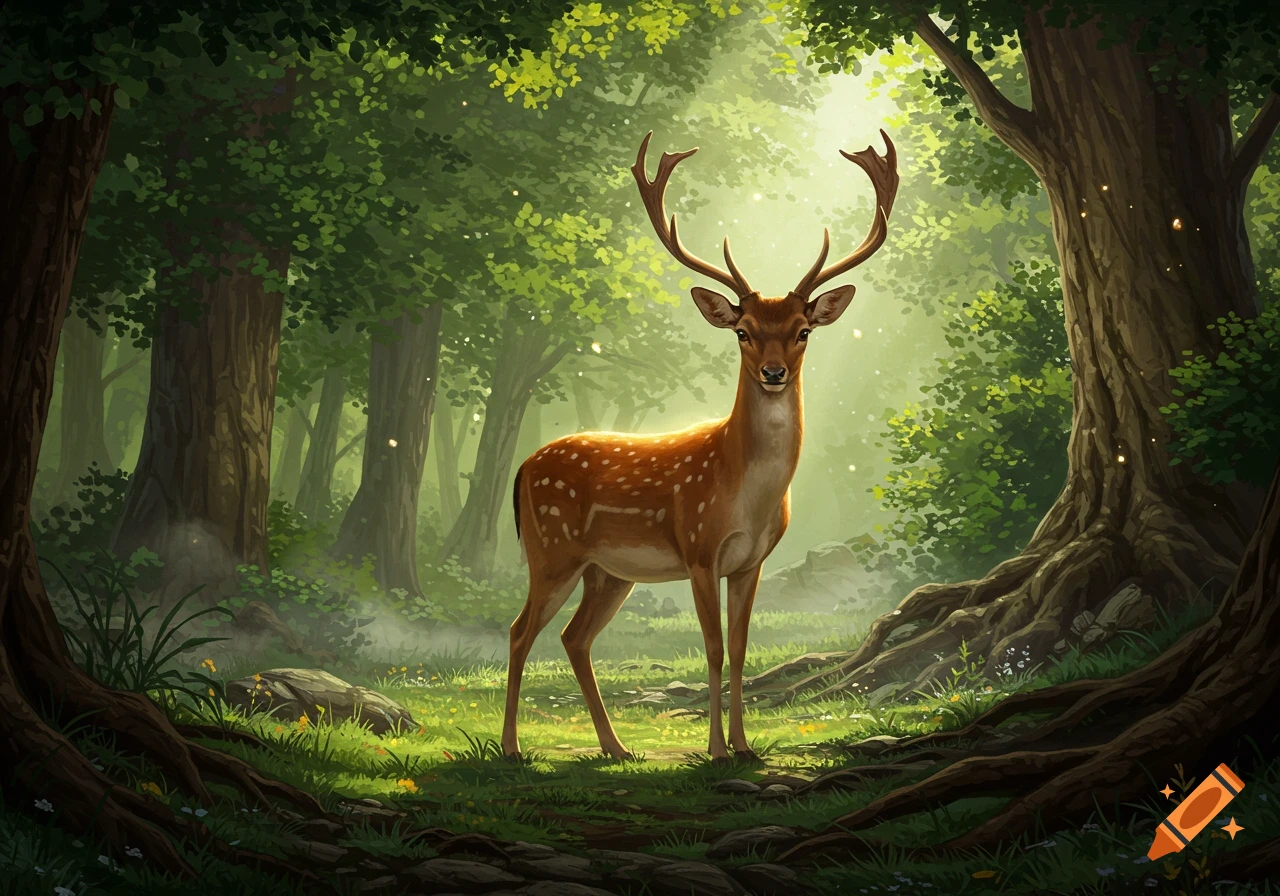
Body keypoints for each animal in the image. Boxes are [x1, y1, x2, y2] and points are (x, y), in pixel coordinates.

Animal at [502, 129, 898, 762]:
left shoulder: (751, 561)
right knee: (520, 632)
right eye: (742, 331)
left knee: (573, 637)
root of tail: (520, 470)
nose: (772, 373)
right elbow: (711, 648)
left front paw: (744, 746)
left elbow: (739, 650)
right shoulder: (698, 548)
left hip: (608, 570)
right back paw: (514, 748)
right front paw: (714, 750)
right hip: (552, 550)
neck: (746, 495)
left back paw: (616, 748)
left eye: (802, 331)